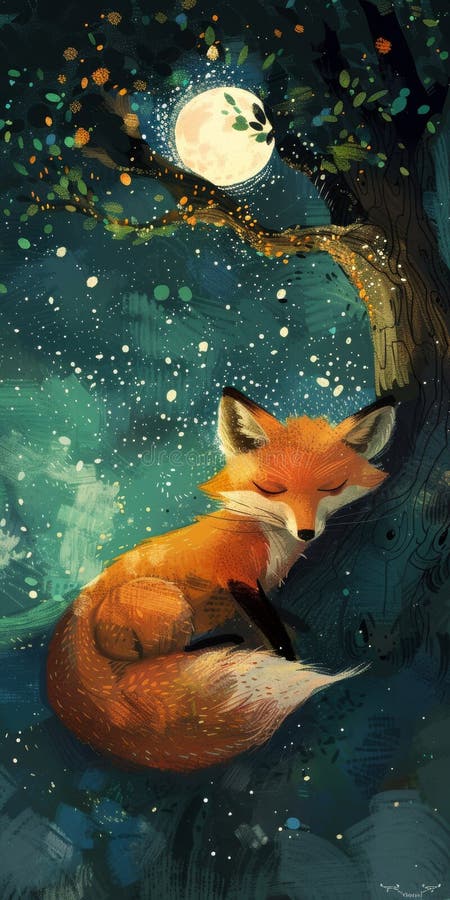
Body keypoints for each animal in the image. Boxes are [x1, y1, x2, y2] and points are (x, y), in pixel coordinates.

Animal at [47, 387, 395, 772]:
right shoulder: (237, 576)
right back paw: (216, 642)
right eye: (272, 488)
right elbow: (272, 630)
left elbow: (270, 612)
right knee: (169, 652)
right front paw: (289, 657)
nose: (306, 532)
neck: (268, 535)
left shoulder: (255, 586)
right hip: (166, 600)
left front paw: (291, 620)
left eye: (331, 487)